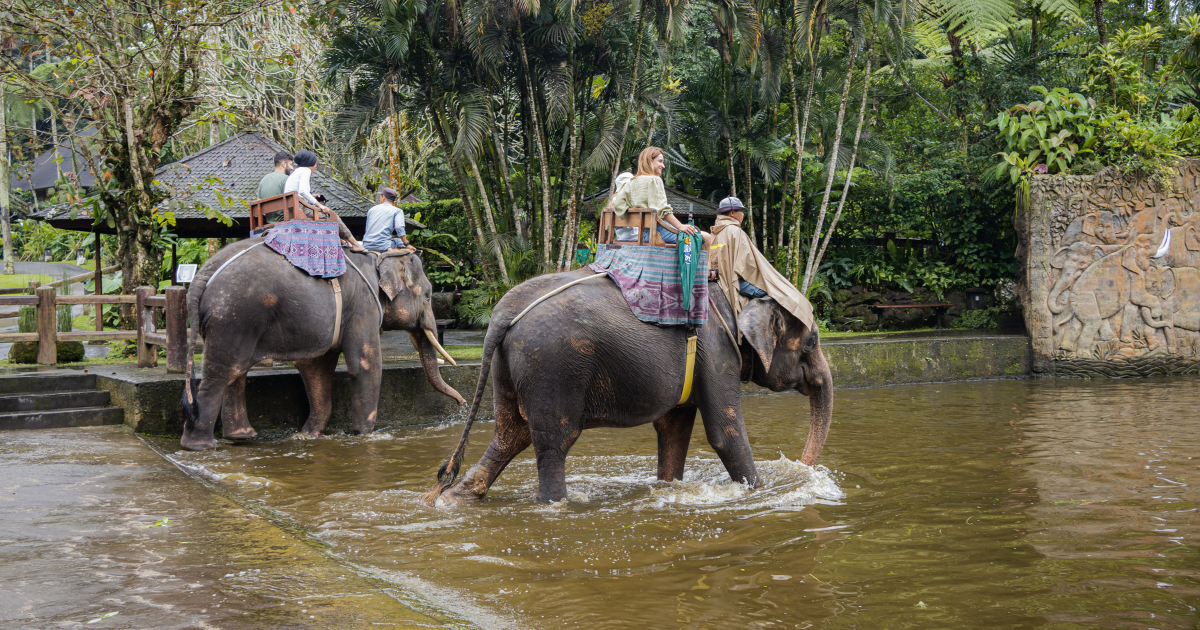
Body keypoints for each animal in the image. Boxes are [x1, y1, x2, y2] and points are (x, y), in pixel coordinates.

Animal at [179, 240, 465, 451]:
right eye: (427, 296)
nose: (461, 403)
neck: (380, 256)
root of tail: (202, 275)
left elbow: (316, 368)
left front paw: (308, 435)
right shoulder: (363, 306)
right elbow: (365, 365)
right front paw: (363, 436)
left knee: (236, 371)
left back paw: (241, 437)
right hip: (234, 316)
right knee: (222, 373)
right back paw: (200, 446)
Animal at [423, 270, 833, 504]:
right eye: (811, 342)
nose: (801, 467)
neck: (741, 295)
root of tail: (502, 312)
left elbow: (673, 428)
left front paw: (667, 489)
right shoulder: (717, 350)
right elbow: (725, 433)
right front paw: (760, 492)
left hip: (510, 369)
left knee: (511, 435)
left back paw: (453, 498)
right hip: (552, 368)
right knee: (554, 443)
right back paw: (556, 505)